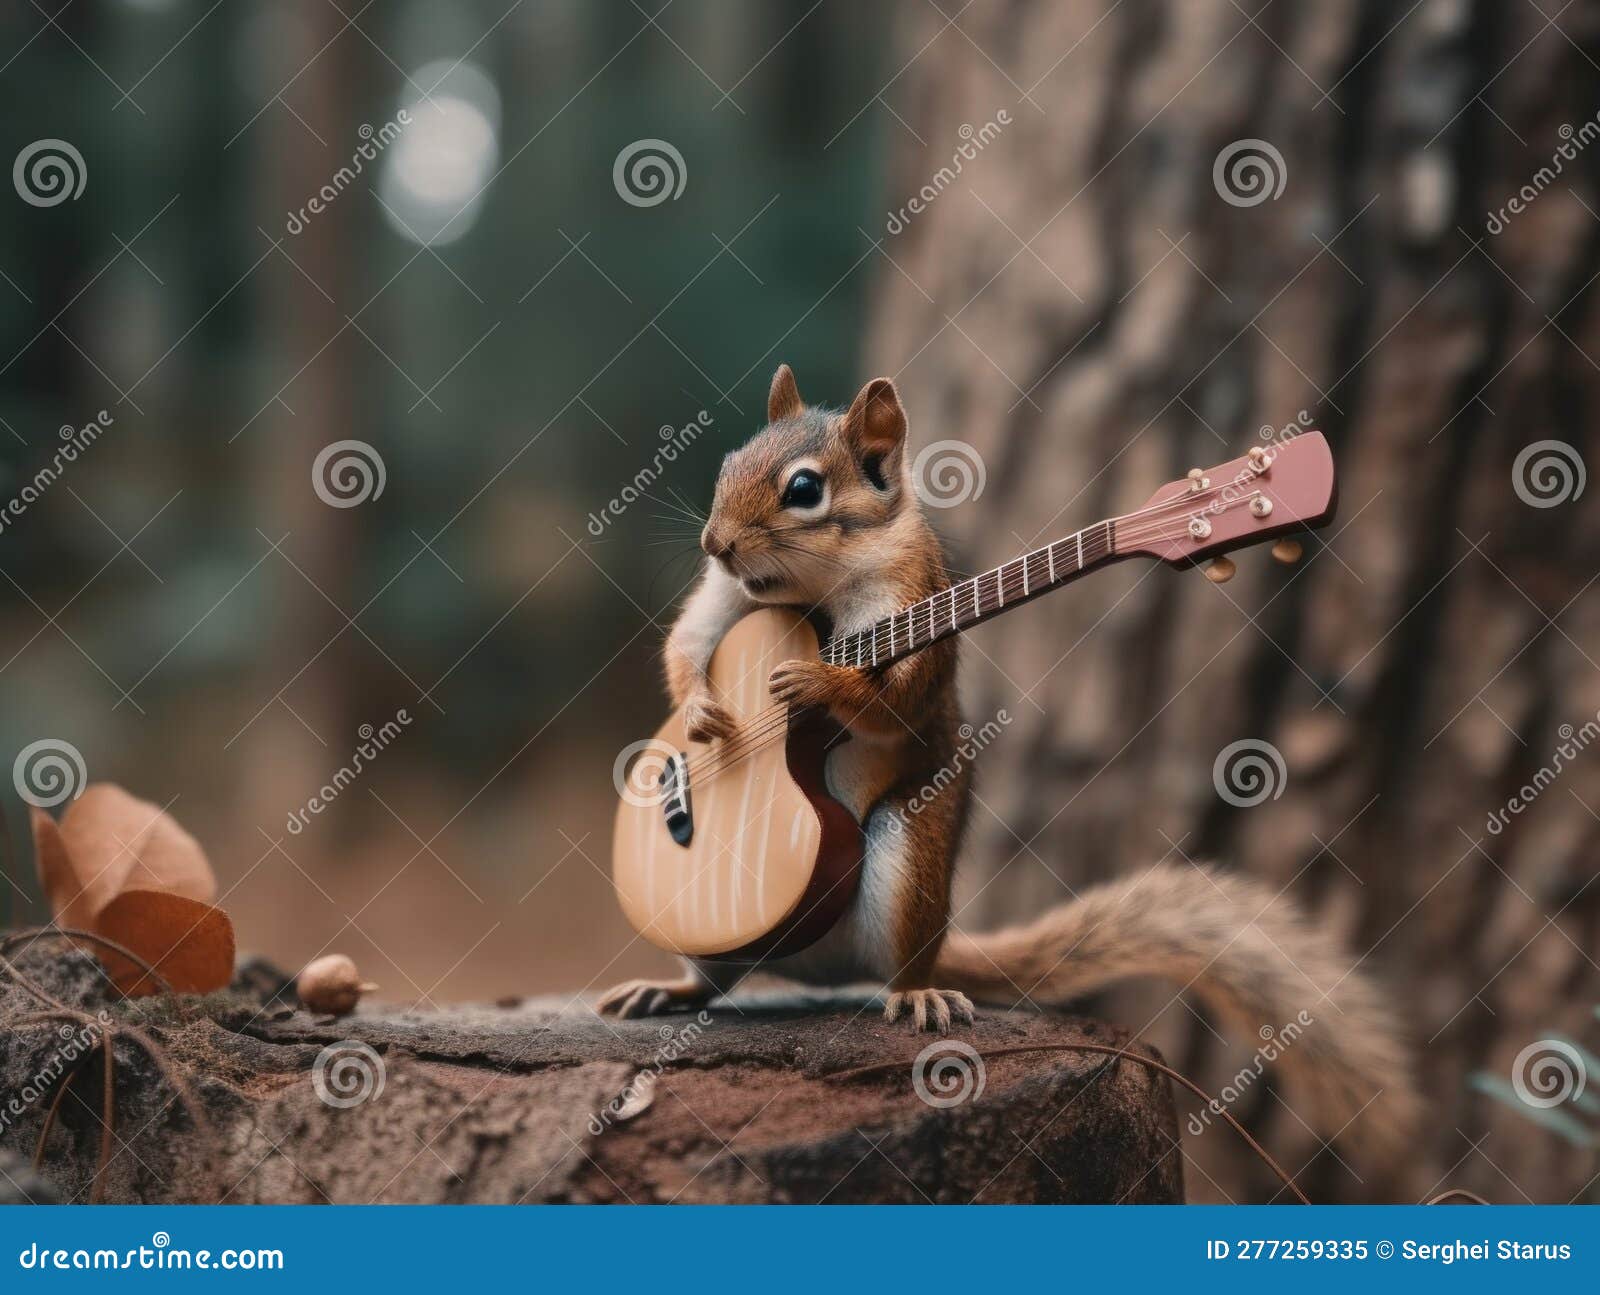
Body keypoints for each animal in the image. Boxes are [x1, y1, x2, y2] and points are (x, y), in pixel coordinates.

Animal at [600, 364, 1419, 1151]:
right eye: (729, 463)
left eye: (804, 489)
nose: (714, 543)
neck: (810, 587)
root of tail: (824, 969)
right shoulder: (722, 600)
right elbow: (689, 646)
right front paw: (699, 718)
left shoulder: (908, 603)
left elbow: (892, 702)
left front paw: (819, 682)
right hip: (721, 940)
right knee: (715, 982)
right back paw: (666, 991)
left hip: (908, 851)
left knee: (901, 959)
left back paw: (917, 993)